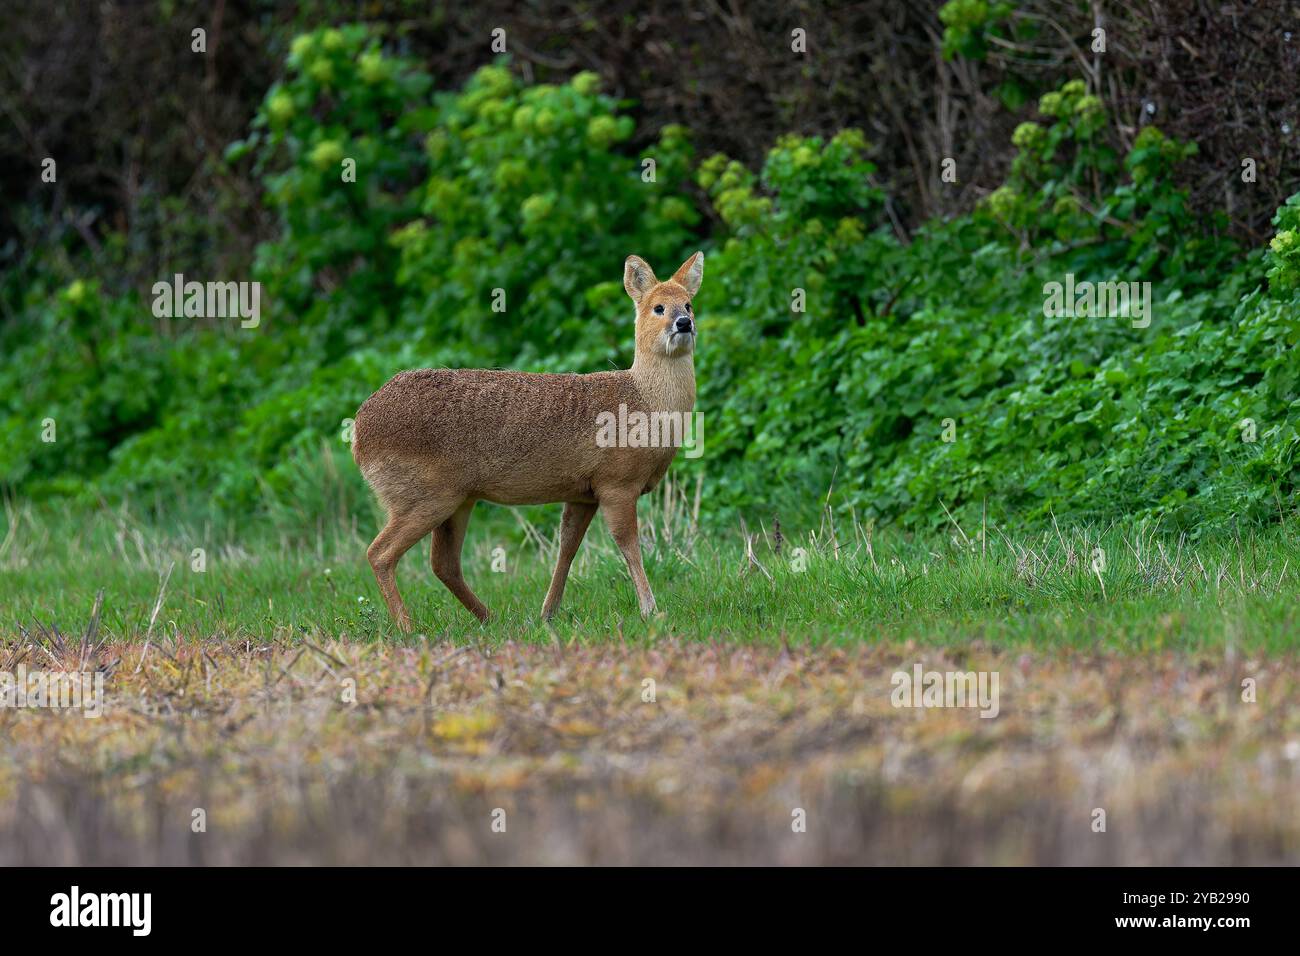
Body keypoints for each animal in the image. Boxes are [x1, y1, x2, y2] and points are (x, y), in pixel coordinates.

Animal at [351, 252, 704, 632]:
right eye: (658, 307)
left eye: (688, 303)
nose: (684, 322)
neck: (645, 402)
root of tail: (358, 433)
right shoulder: (617, 482)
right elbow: (629, 545)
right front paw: (651, 611)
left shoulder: (583, 492)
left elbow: (567, 547)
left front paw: (548, 613)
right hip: (422, 493)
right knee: (380, 553)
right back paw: (409, 627)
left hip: (457, 497)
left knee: (442, 563)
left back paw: (488, 618)